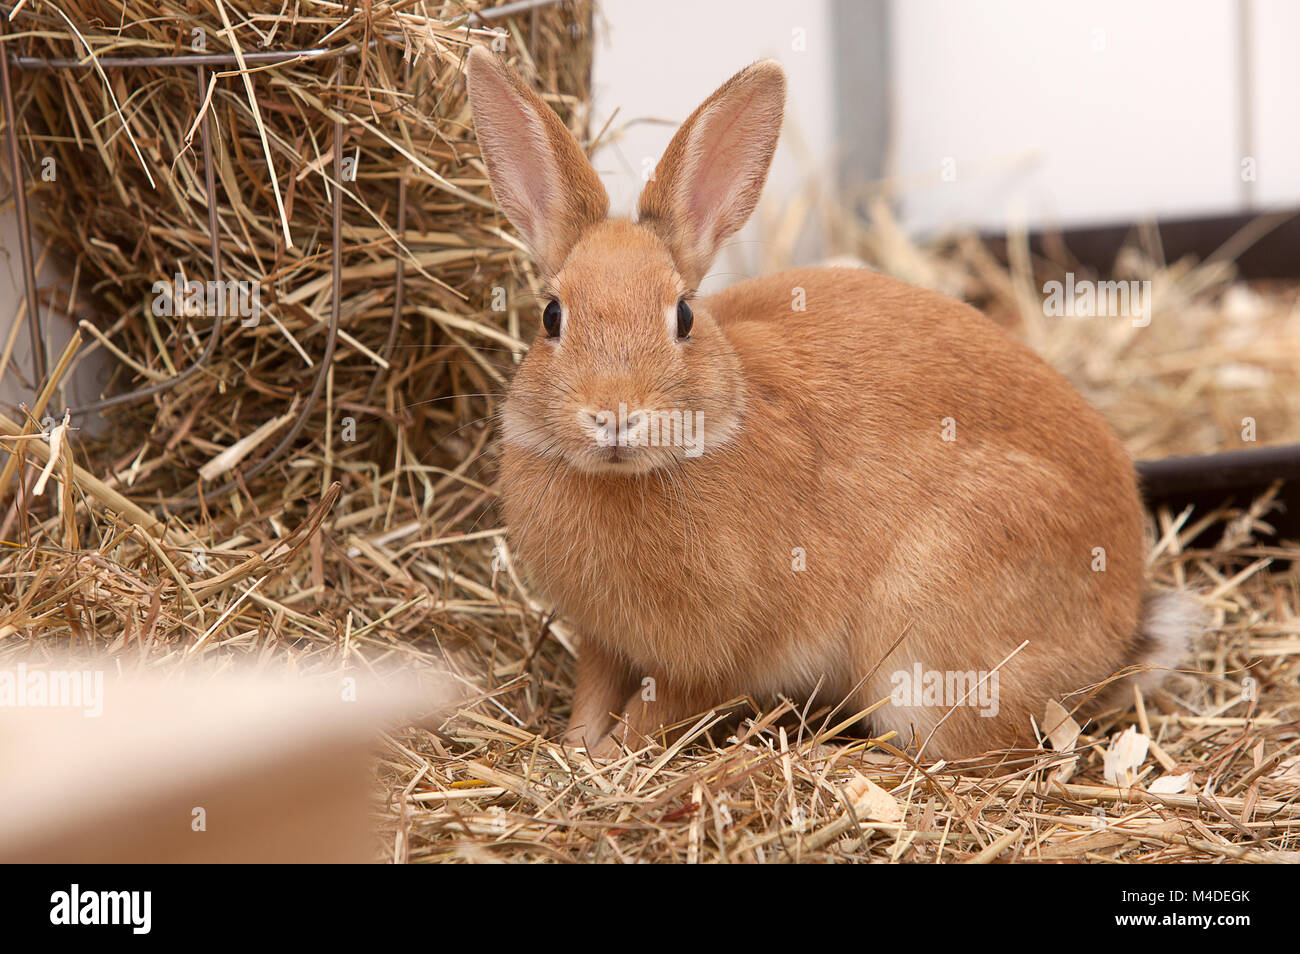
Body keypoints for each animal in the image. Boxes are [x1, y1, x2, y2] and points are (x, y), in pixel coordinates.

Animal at [464, 47, 1202, 760]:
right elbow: (592, 694)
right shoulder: (603, 642)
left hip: (923, 647)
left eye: (683, 317)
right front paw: (575, 749)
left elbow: (658, 710)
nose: (614, 415)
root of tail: (1117, 633)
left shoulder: (707, 657)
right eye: (551, 317)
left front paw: (611, 758)